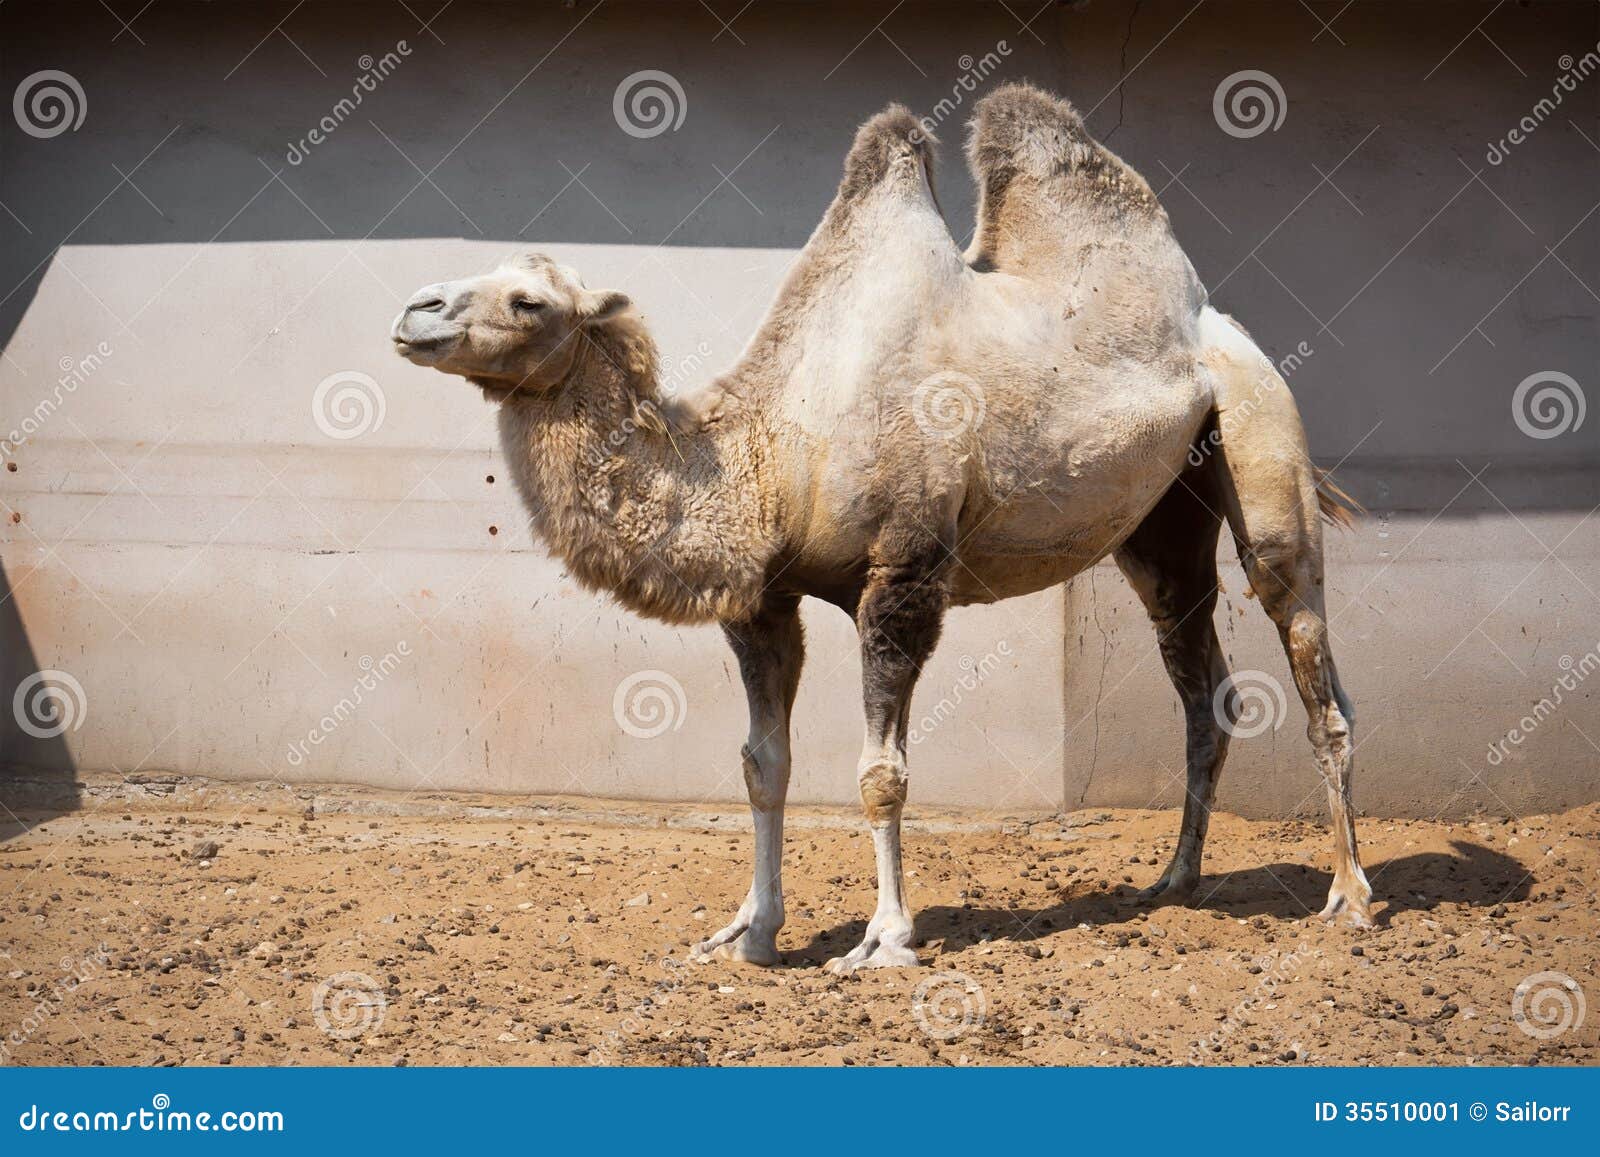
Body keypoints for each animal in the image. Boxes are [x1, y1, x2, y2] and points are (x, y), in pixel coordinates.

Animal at [390, 82, 1373, 974]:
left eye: (530, 301)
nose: (414, 308)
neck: (773, 451)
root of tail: (1216, 320)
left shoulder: (903, 576)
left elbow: (880, 773)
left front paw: (885, 938)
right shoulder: (763, 601)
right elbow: (762, 762)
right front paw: (749, 932)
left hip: (1259, 430)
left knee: (1309, 650)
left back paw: (1349, 894)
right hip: (1163, 522)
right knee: (1200, 677)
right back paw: (1174, 880)